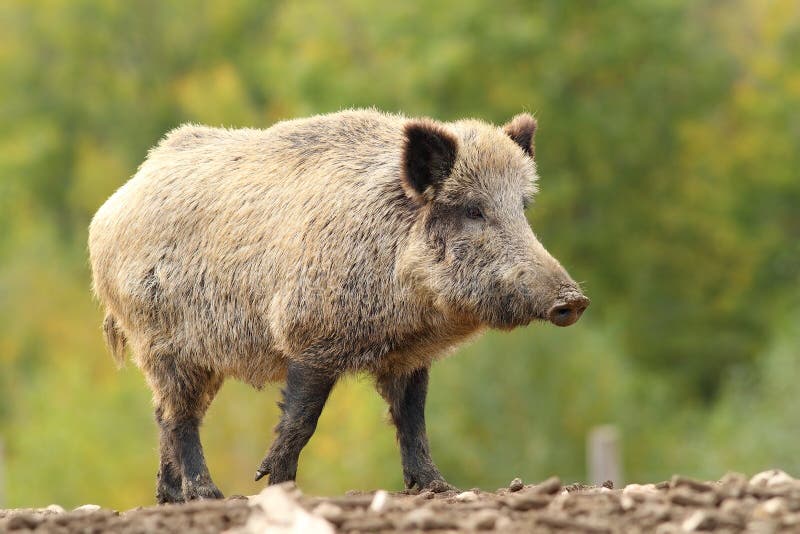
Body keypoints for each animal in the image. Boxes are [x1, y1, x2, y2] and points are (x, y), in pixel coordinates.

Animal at [88, 109, 588, 503]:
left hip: (197, 357)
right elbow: (302, 419)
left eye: (522, 208)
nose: (574, 300)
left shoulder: (408, 356)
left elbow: (413, 420)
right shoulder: (310, 335)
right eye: (473, 210)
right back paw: (209, 495)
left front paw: (438, 488)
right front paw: (276, 485)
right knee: (180, 417)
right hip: (162, 341)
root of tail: (112, 206)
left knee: (163, 414)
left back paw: (172, 498)